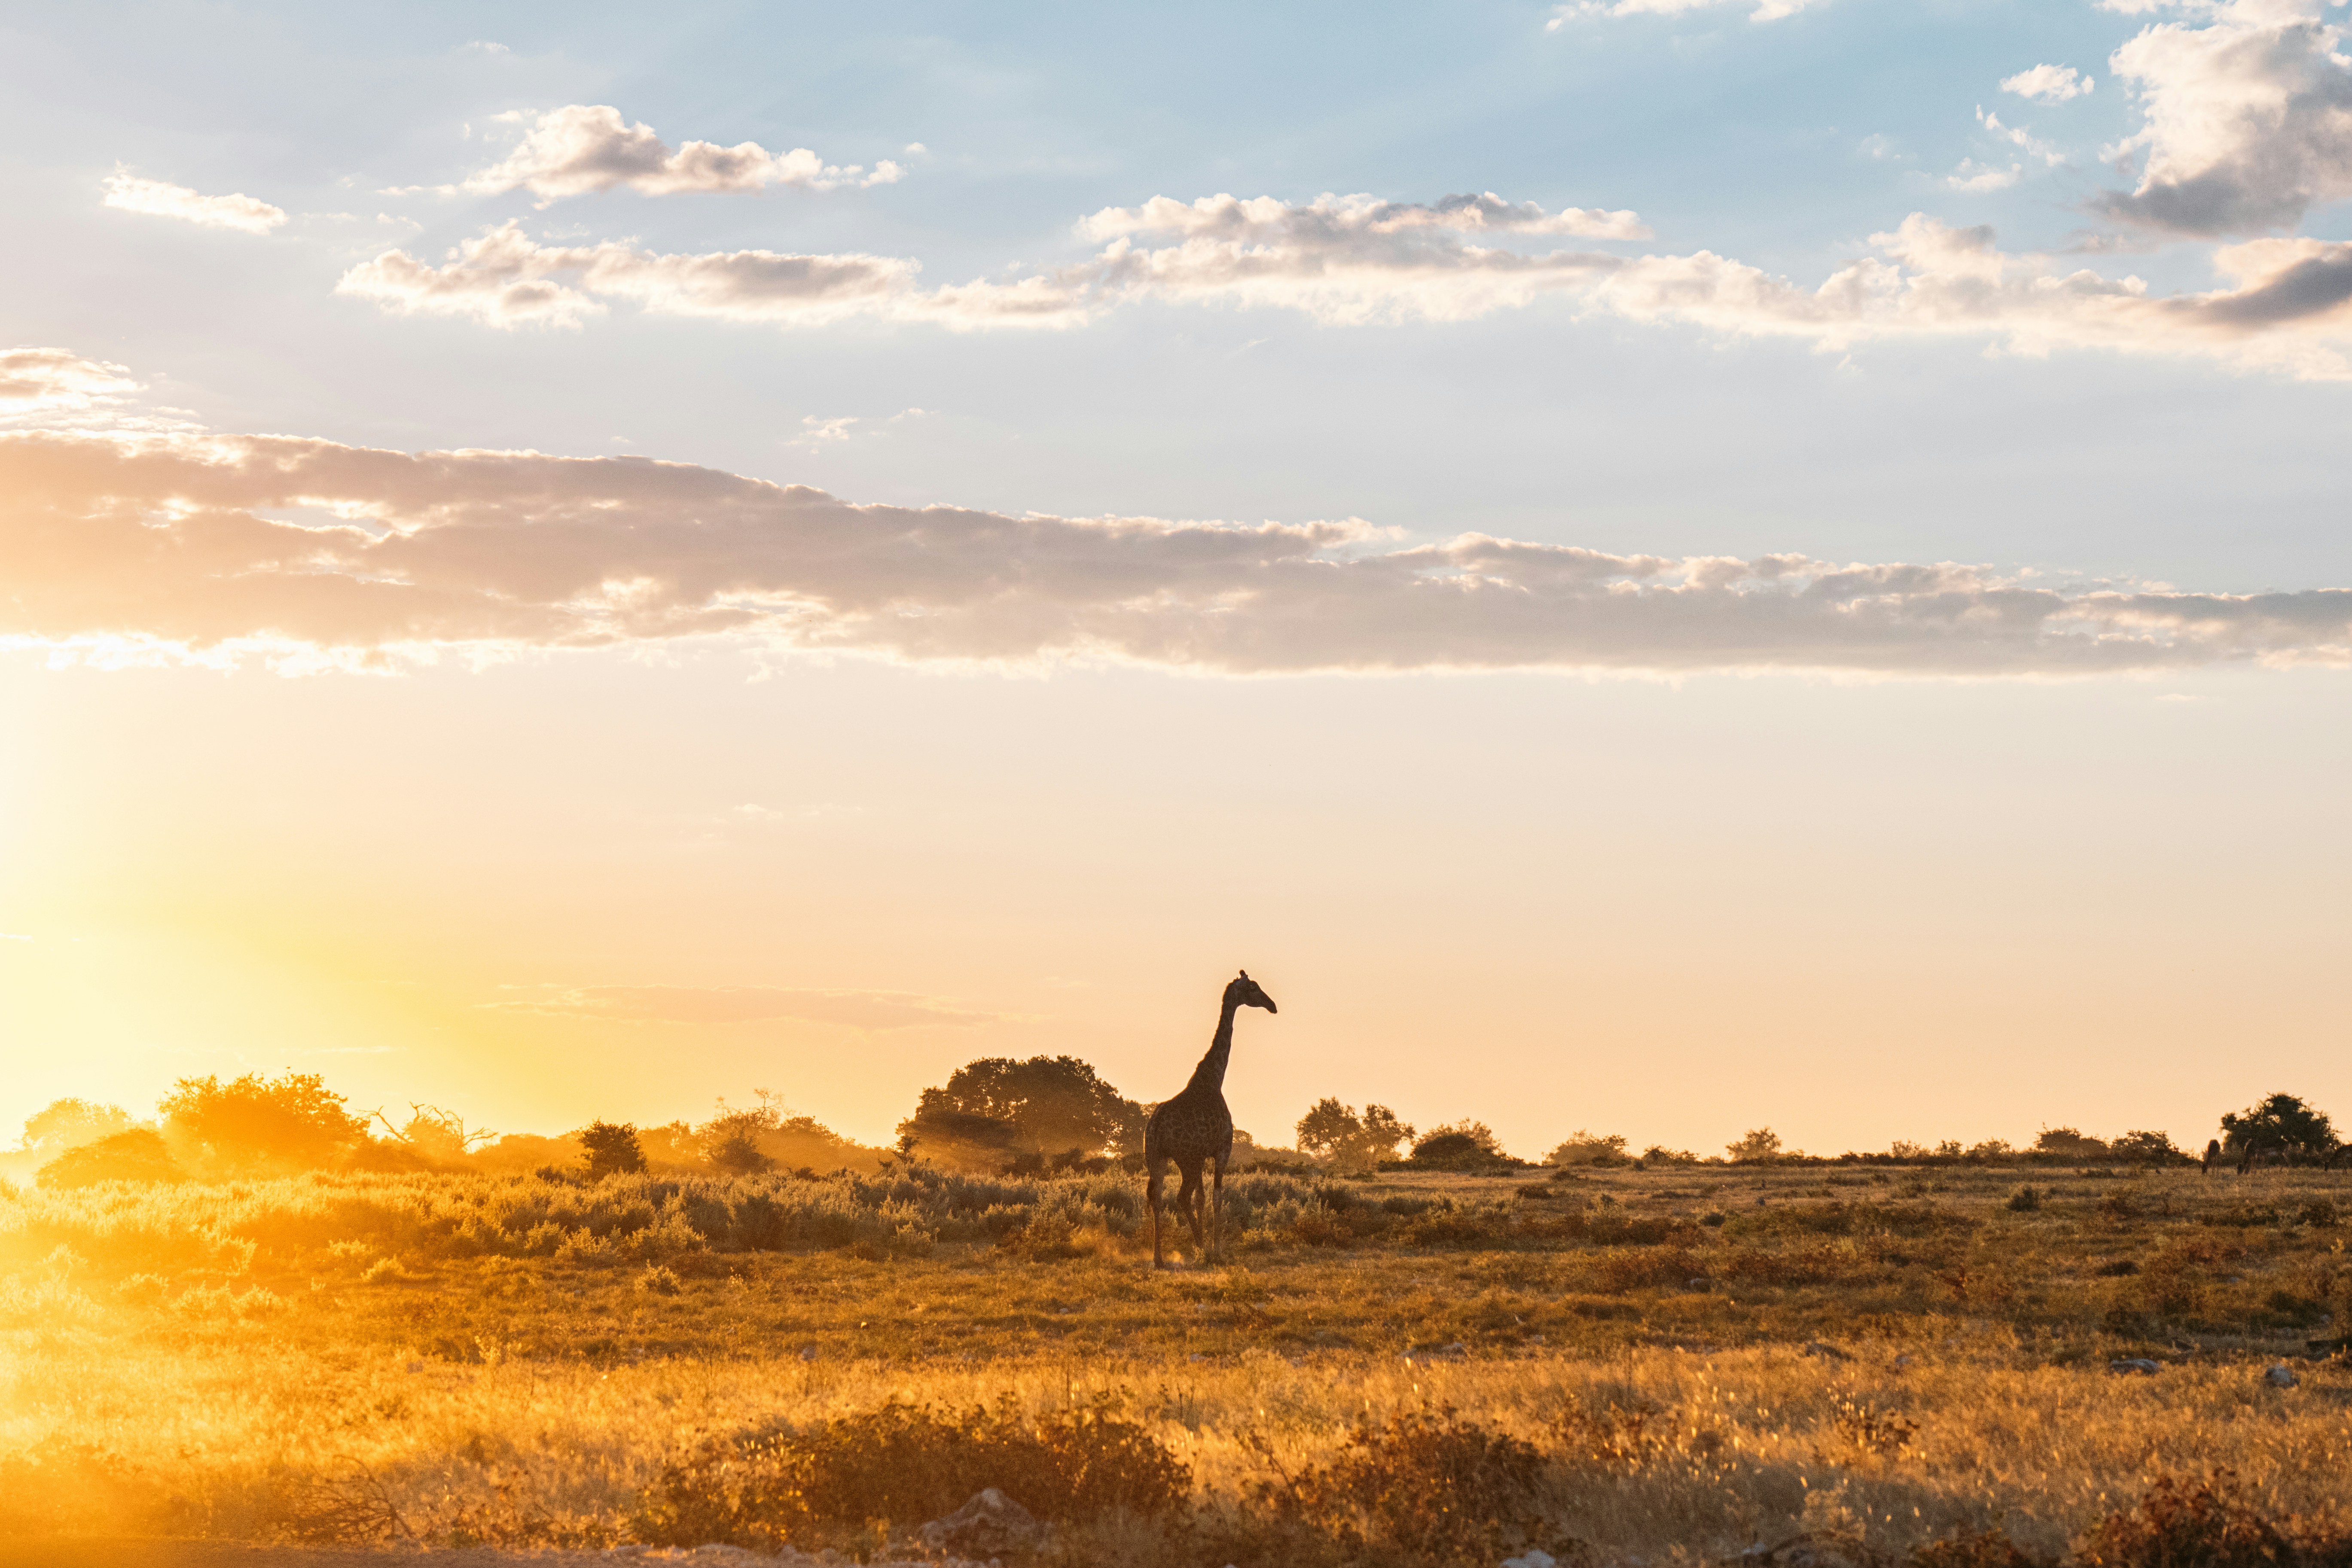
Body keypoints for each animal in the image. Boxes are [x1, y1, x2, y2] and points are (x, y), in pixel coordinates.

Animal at [1145, 970, 1277, 1269]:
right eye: (1254, 988)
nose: (1273, 1006)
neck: (1215, 1078)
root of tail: (1156, 1127)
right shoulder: (1221, 1150)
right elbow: (1216, 1198)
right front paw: (1216, 1248)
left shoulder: (1205, 1154)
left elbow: (1201, 1199)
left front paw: (1205, 1246)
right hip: (1187, 1159)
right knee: (1180, 1197)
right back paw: (1202, 1248)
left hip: (1157, 1157)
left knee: (1156, 1197)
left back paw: (1159, 1258)